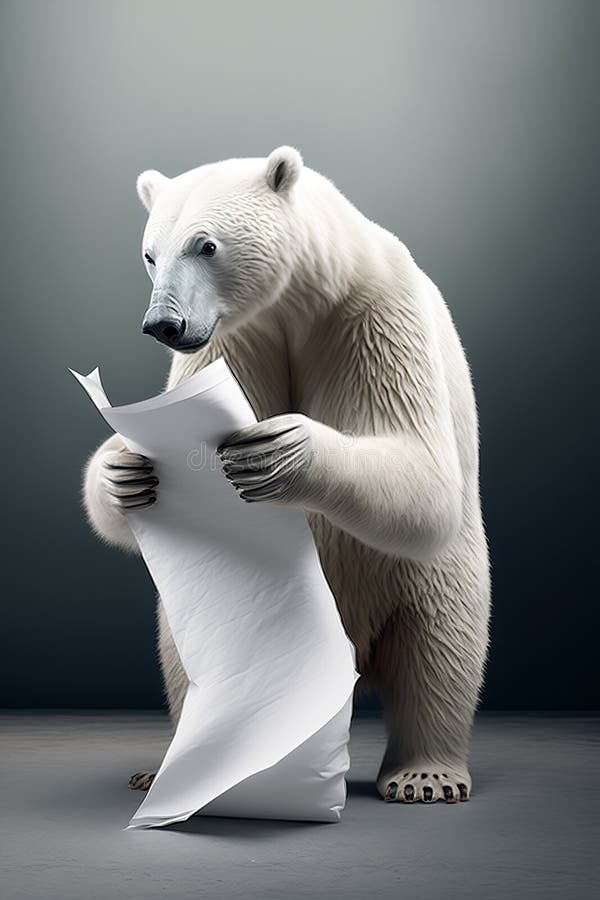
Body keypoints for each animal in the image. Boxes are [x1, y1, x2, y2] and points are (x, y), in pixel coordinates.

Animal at [83, 146, 490, 804]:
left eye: (205, 245)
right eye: (150, 252)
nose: (163, 324)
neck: (304, 303)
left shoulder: (378, 319)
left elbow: (421, 473)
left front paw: (277, 452)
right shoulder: (234, 339)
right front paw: (125, 468)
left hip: (429, 579)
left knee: (438, 655)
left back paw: (425, 775)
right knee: (191, 660)